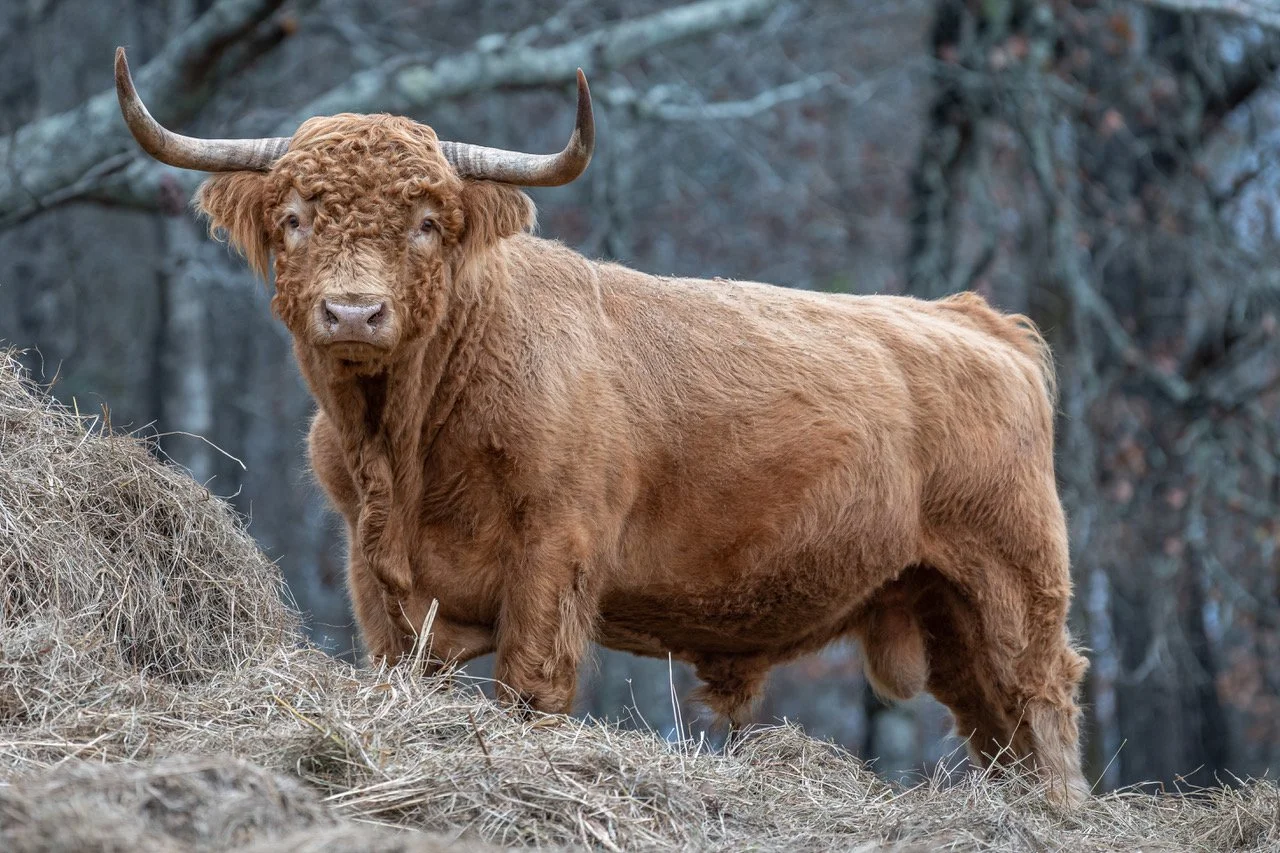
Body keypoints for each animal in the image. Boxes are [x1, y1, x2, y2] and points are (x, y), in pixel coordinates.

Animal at [115, 47, 1090, 804]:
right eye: (294, 217)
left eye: (427, 222)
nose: (354, 312)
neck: (407, 442)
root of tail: (978, 320)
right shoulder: (373, 570)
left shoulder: (554, 554)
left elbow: (529, 688)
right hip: (943, 607)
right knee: (999, 729)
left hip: (1013, 582)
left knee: (1045, 711)